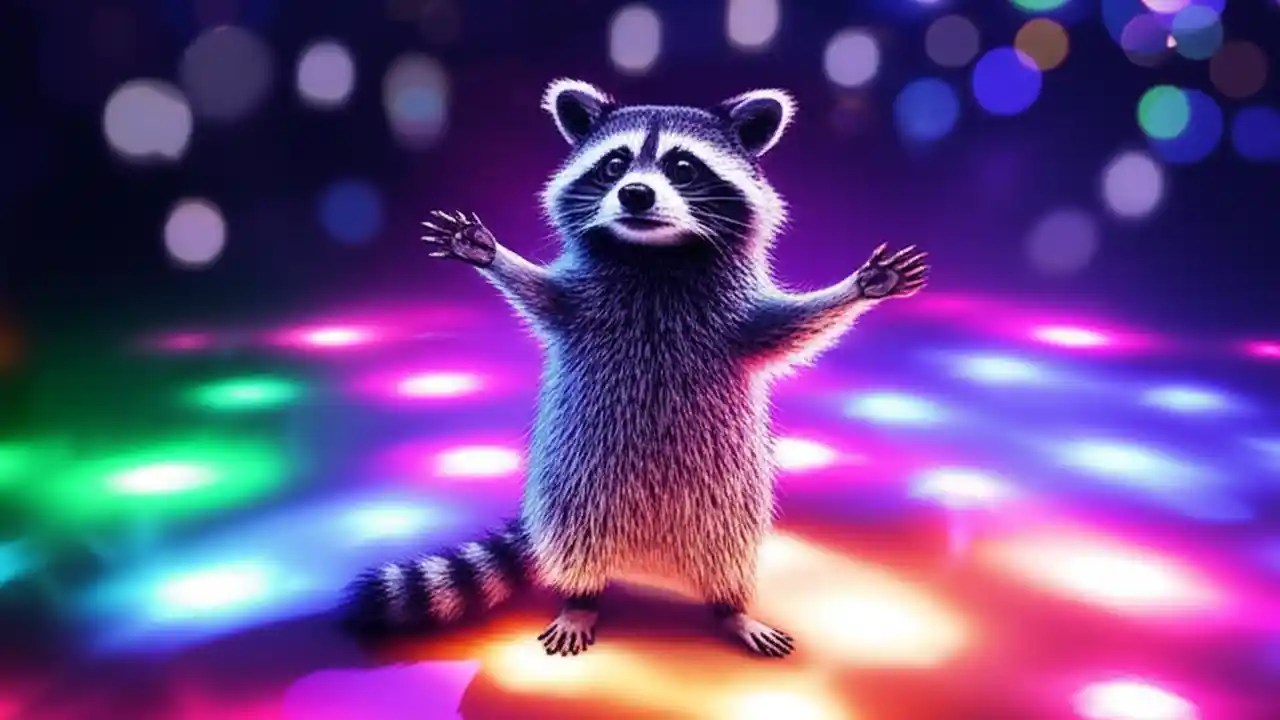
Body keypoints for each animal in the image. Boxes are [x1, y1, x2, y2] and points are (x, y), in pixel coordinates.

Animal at [343, 78, 928, 658]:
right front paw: (489, 254)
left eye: (683, 167)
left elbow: (790, 325)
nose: (636, 193)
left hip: (730, 500)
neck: (656, 254)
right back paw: (581, 598)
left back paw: (731, 607)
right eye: (614, 164)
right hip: (573, 488)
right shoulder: (583, 302)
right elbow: (540, 294)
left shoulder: (734, 320)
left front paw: (862, 287)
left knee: (730, 553)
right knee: (577, 545)